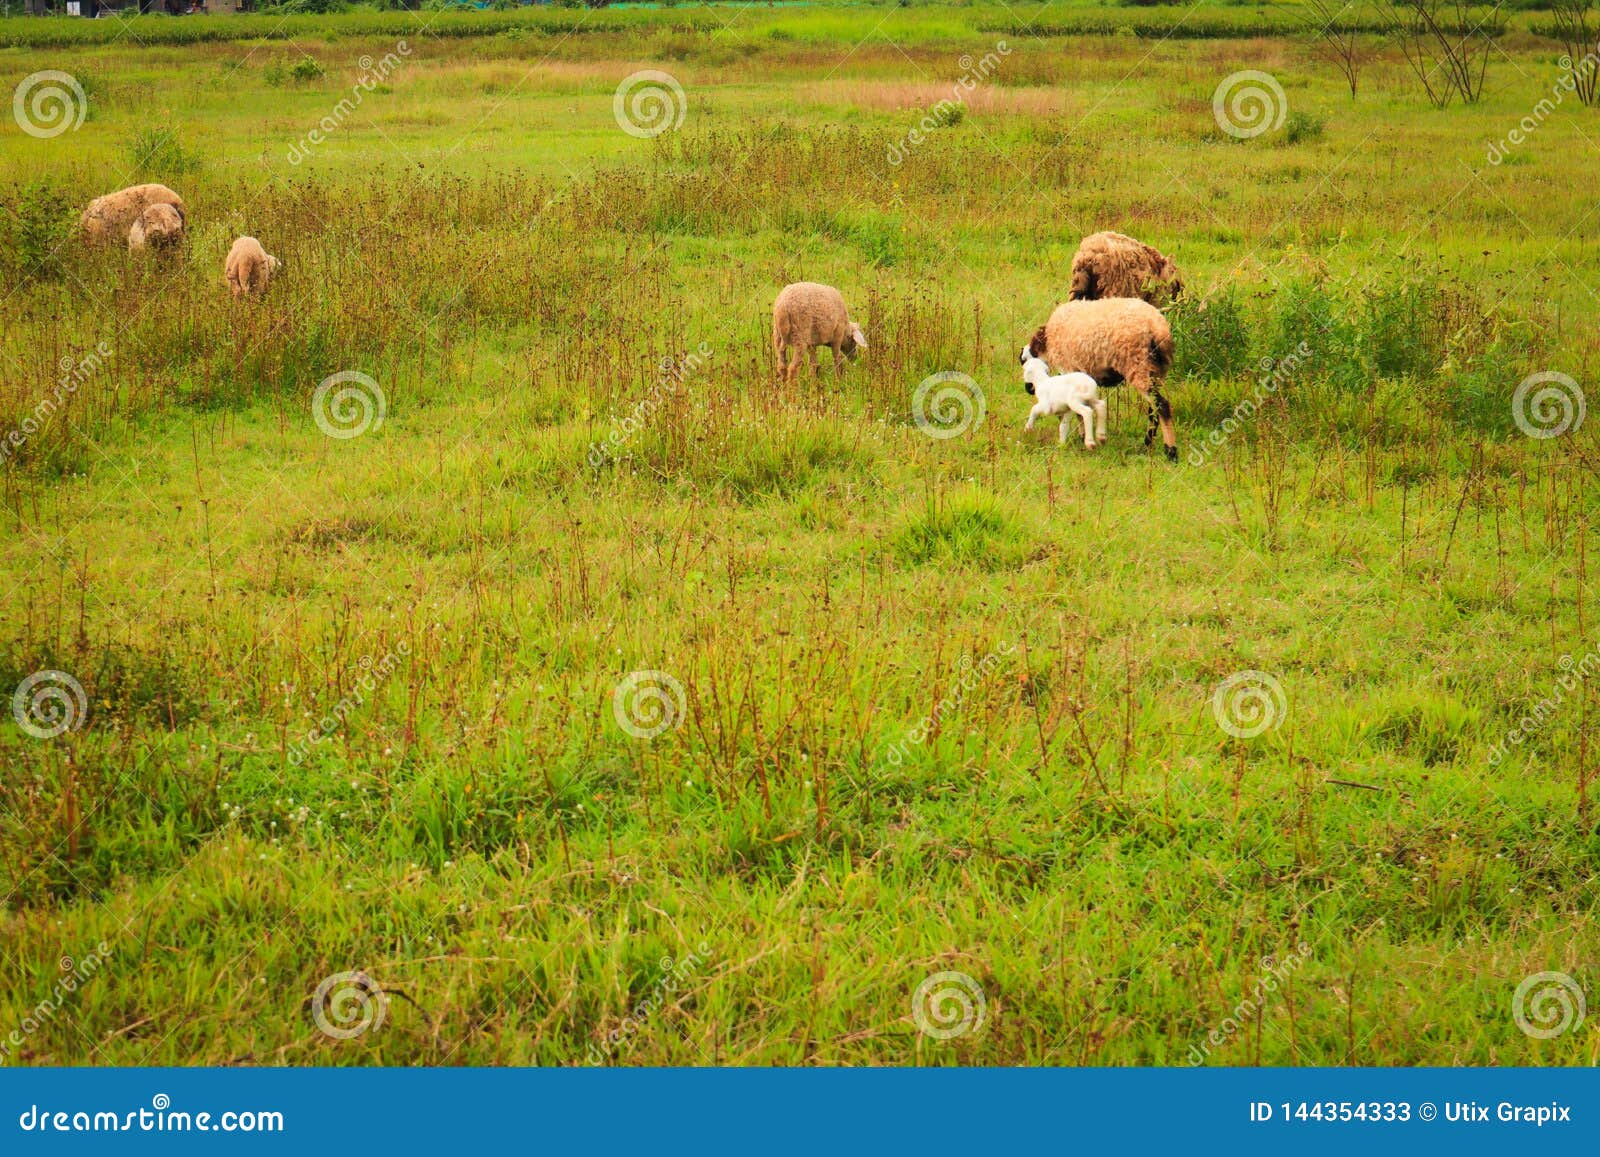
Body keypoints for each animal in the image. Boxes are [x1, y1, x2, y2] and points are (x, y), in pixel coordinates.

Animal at [1026, 297, 1178, 461]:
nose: (1029, 389)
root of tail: (1157, 328)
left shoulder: (1069, 368)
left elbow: (1078, 412)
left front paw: (1083, 437)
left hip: (1138, 366)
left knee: (1162, 406)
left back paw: (1171, 451)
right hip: (1156, 372)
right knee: (1153, 408)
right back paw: (1147, 444)